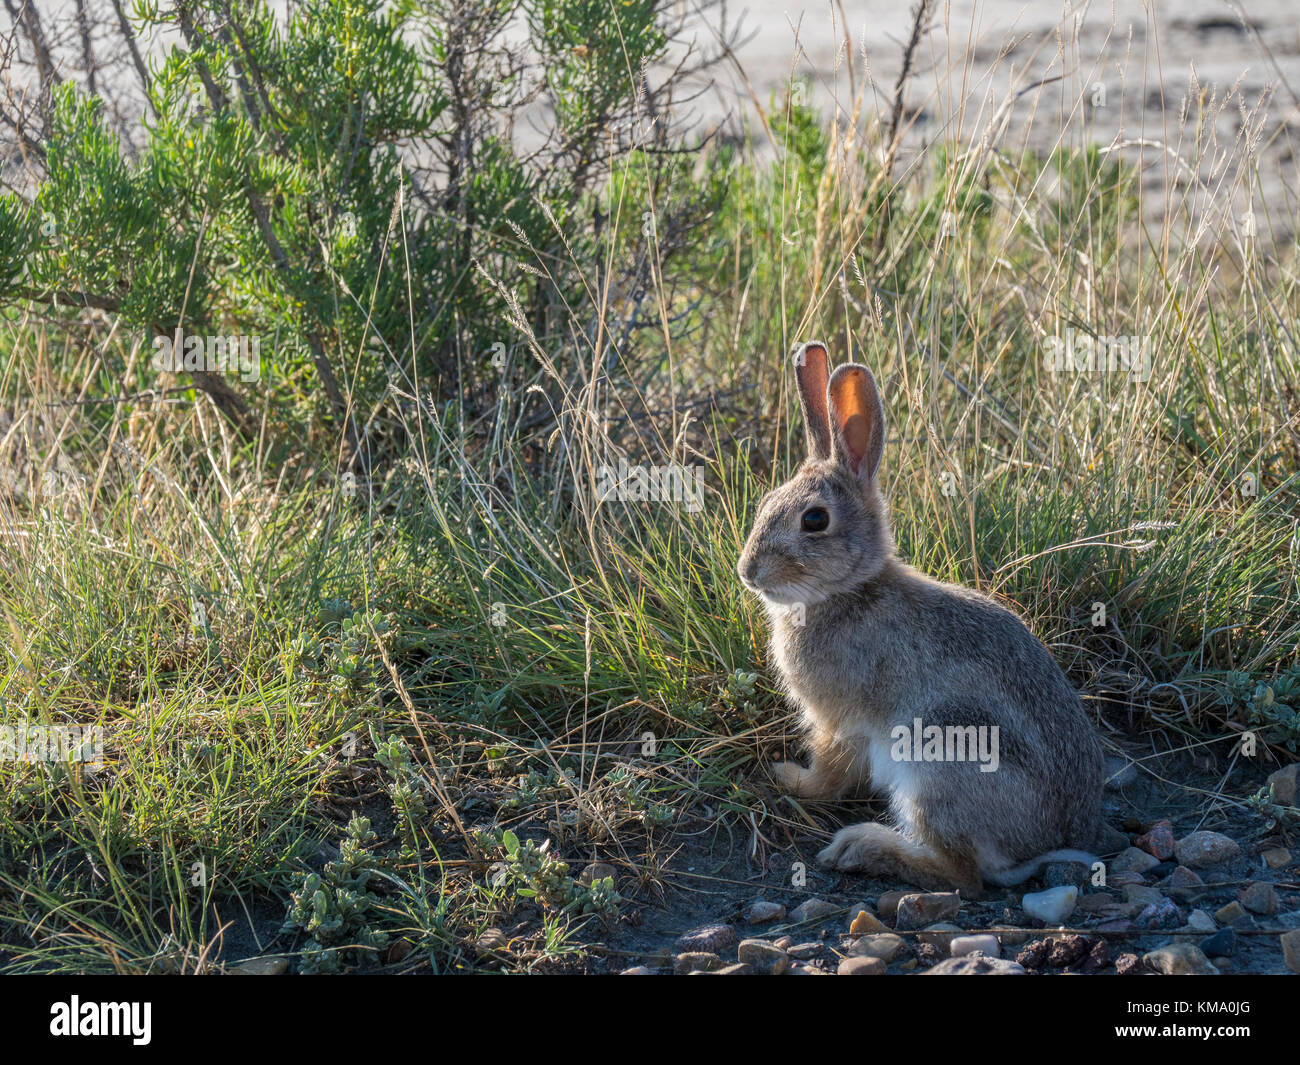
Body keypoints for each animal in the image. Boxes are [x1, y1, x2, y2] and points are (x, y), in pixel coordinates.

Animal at [736, 341, 1103, 897]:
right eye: (765, 502)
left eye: (815, 520)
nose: (748, 571)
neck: (850, 591)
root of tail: (1040, 845)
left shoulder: (839, 721)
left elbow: (830, 772)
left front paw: (790, 779)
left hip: (938, 760)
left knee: (963, 876)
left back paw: (863, 847)